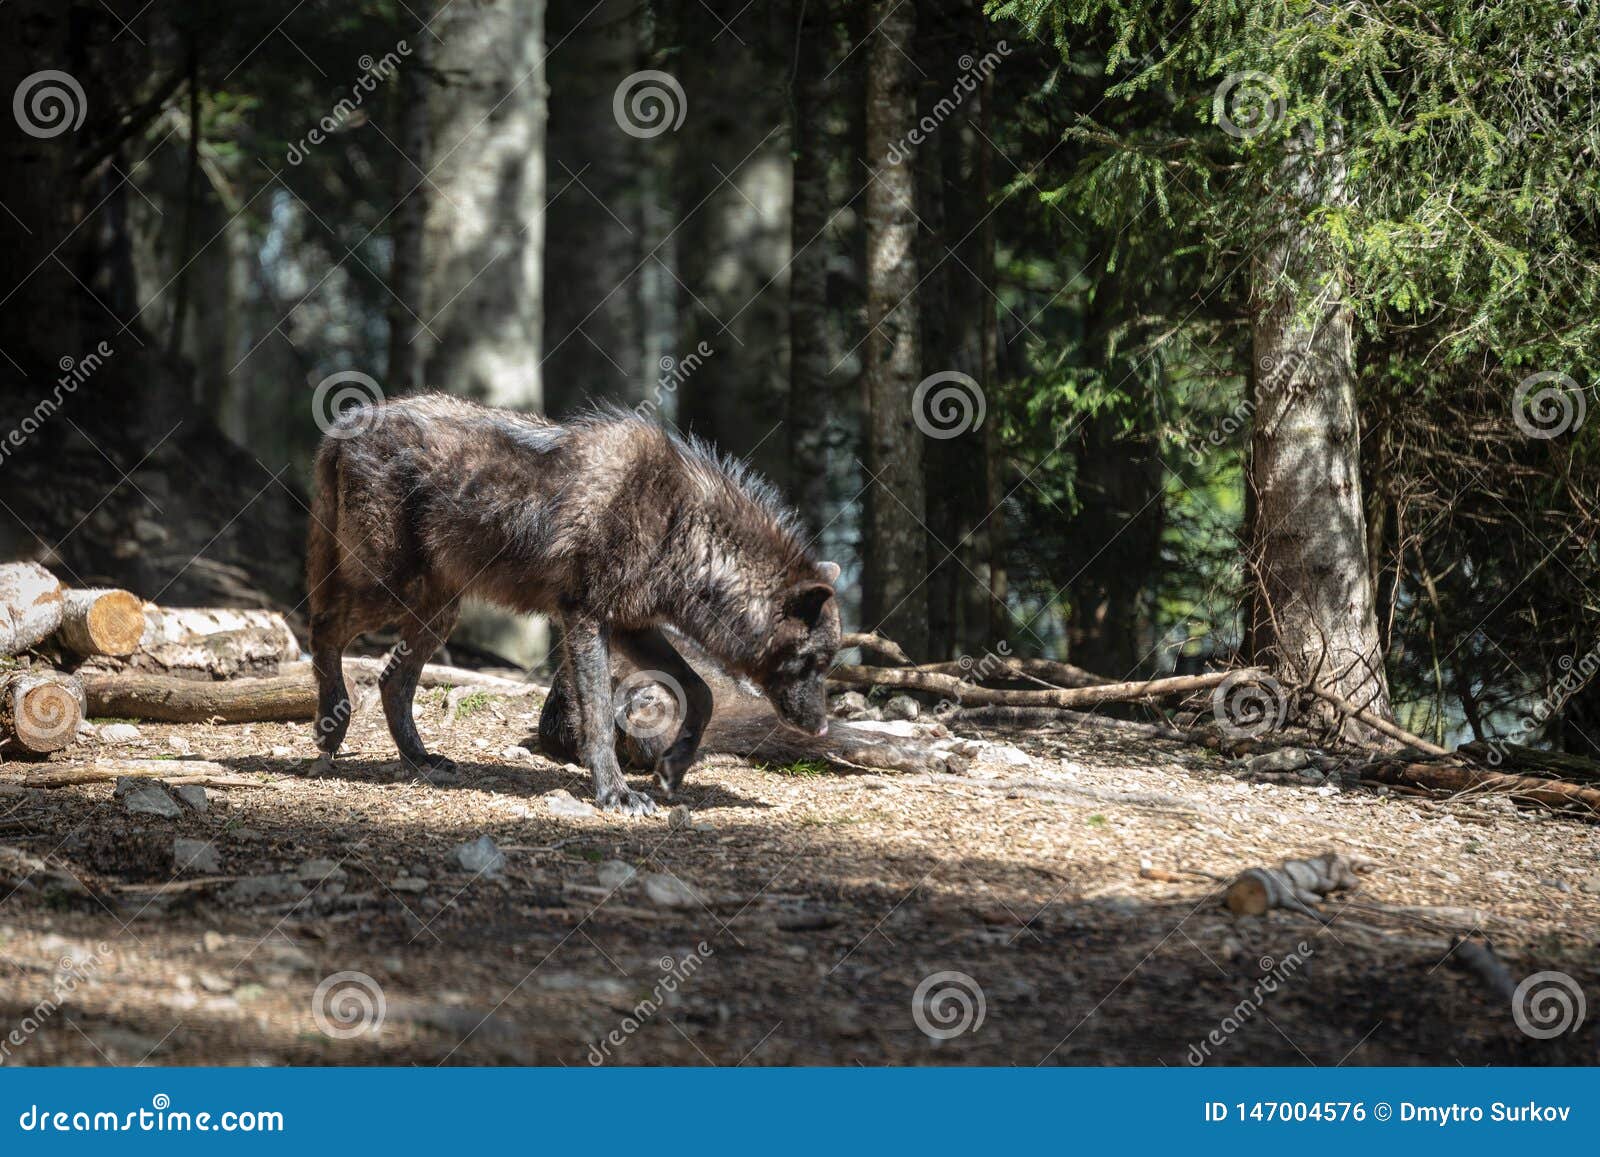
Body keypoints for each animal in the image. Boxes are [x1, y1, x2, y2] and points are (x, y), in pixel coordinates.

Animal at [306, 393, 840, 815]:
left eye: (827, 664)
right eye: (812, 662)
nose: (820, 727)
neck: (680, 523)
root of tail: (348, 421)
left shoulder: (632, 626)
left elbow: (701, 693)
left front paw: (674, 766)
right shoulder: (585, 617)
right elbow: (600, 716)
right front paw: (616, 793)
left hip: (439, 613)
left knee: (392, 680)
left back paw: (419, 758)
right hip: (389, 589)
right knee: (323, 626)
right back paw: (332, 728)